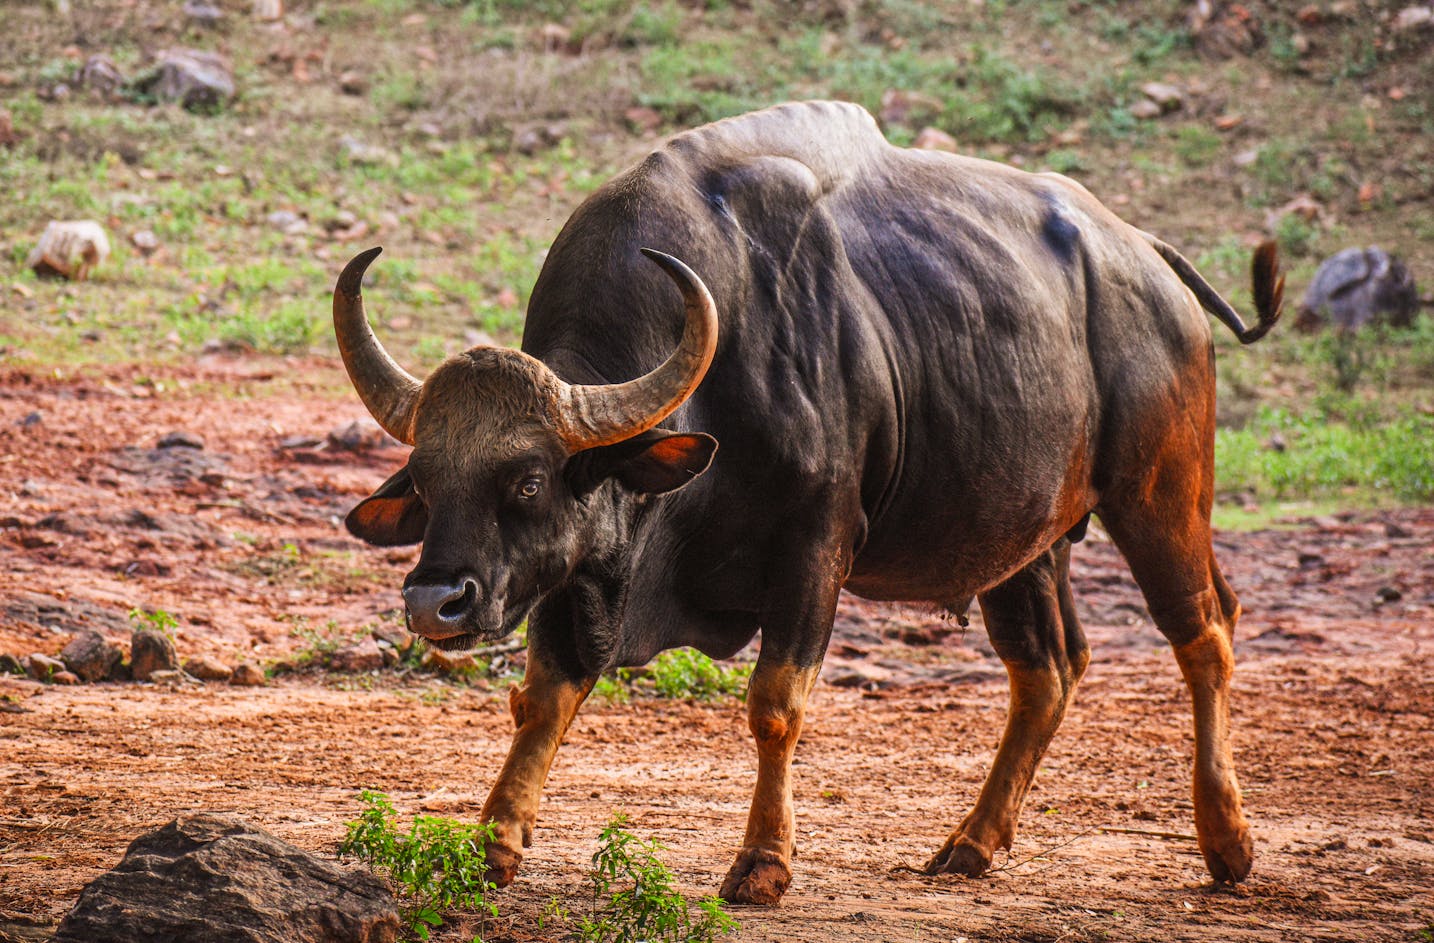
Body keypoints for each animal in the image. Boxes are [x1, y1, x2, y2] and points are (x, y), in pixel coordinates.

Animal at [334, 100, 1282, 903]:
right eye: (426, 478)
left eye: (529, 478)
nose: (434, 601)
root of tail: (1149, 261)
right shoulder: (580, 573)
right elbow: (544, 693)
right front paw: (494, 841)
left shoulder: (813, 552)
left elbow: (775, 703)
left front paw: (762, 861)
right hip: (1024, 539)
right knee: (1050, 667)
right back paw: (972, 841)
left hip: (1159, 495)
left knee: (1205, 630)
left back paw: (1228, 841)